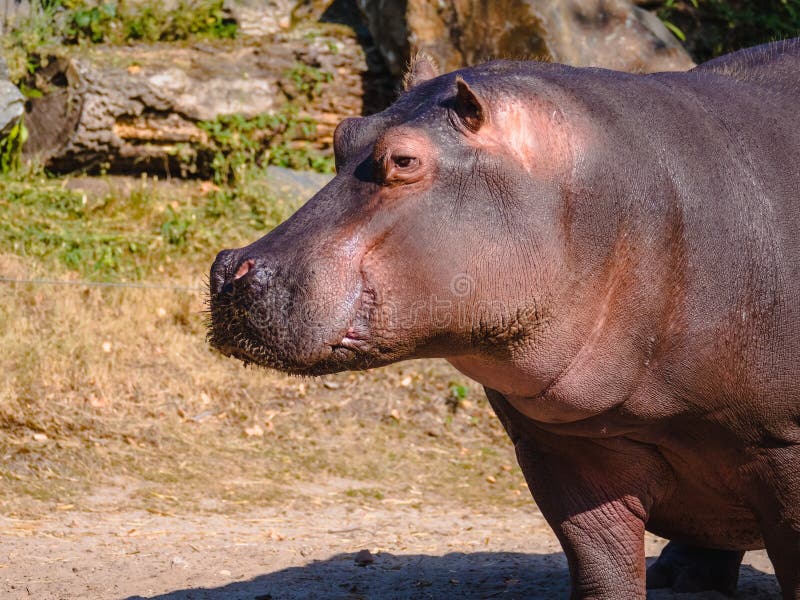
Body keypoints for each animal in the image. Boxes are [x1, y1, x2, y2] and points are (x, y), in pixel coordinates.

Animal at [208, 38, 800, 598]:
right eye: (341, 133)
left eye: (403, 160)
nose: (229, 270)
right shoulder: (562, 449)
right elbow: (602, 569)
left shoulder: (784, 448)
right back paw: (677, 579)